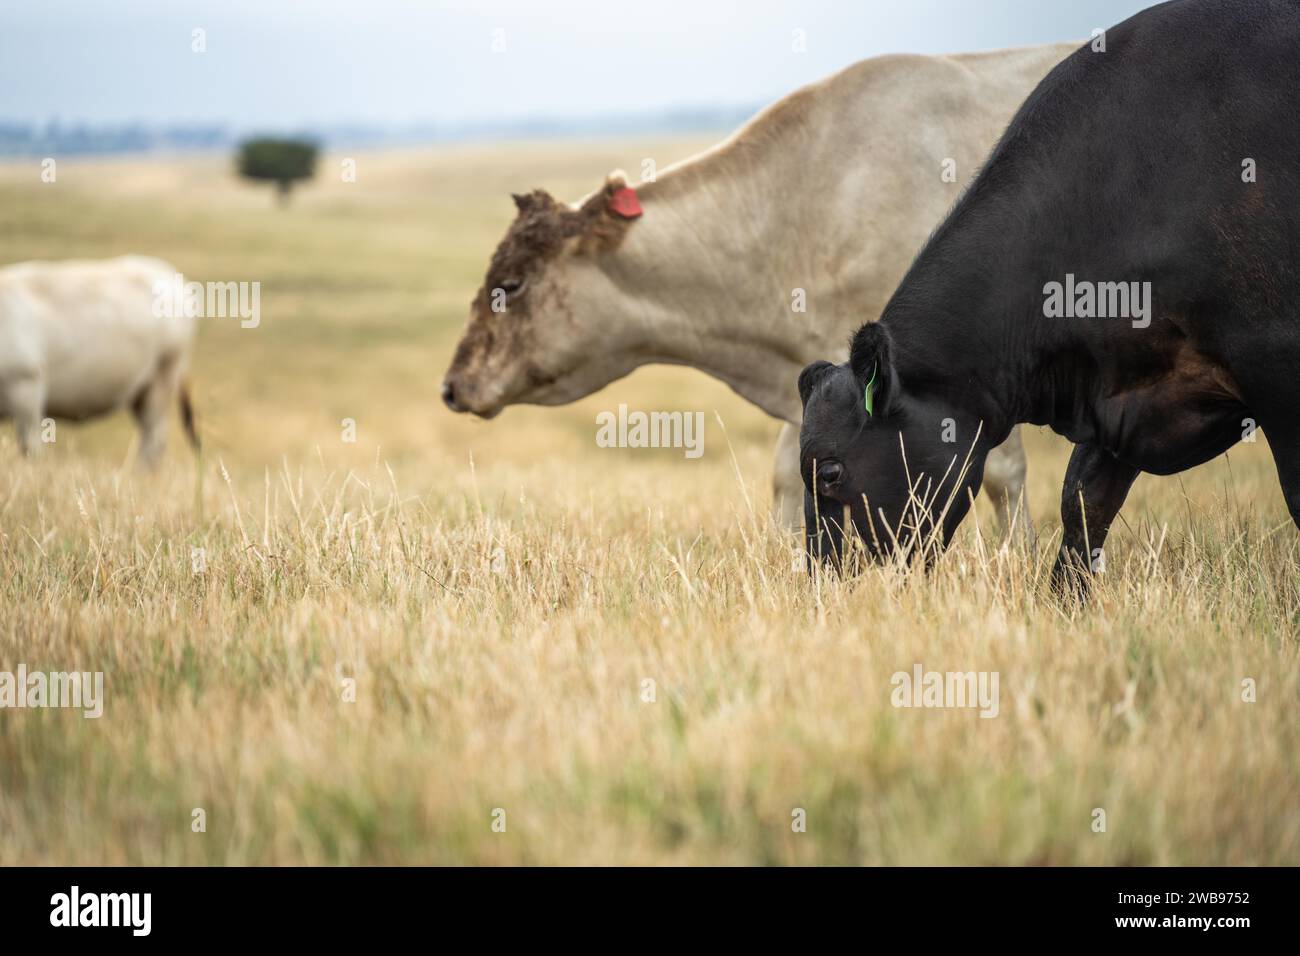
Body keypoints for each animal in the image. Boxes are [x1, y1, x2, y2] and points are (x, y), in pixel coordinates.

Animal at [797, 0, 1300, 592]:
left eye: (831, 471)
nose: (821, 586)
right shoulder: (1122, 397)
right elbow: (1083, 502)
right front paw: (1065, 598)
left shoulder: (1276, 365)